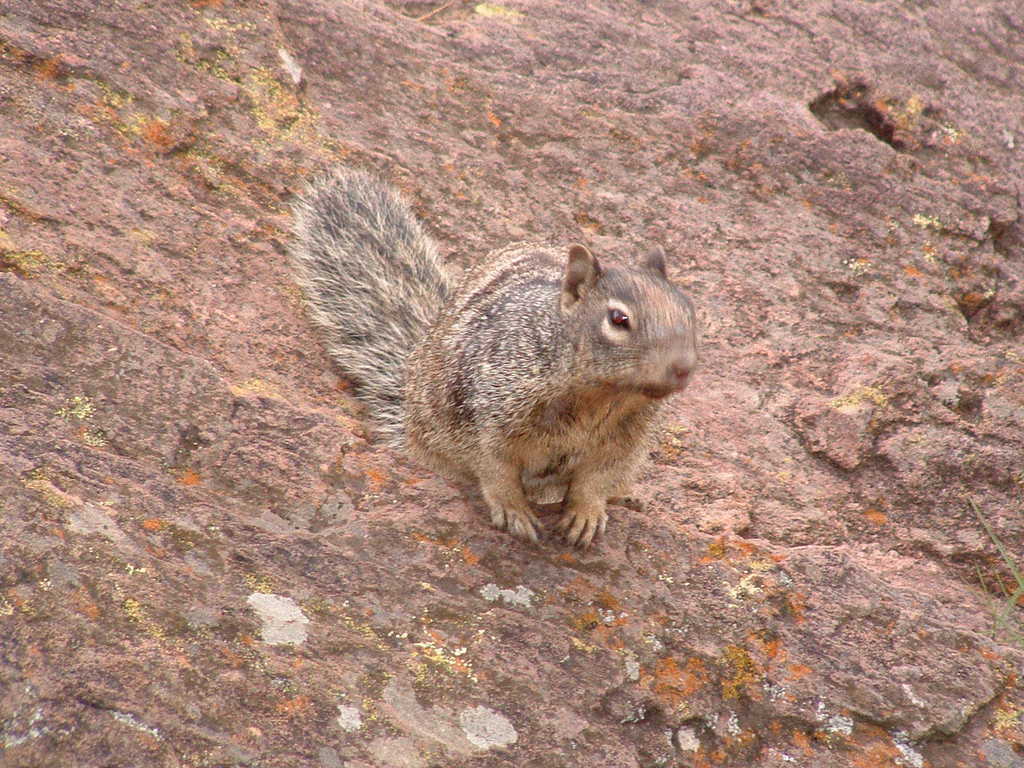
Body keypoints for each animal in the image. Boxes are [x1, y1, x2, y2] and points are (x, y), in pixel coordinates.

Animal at [290, 168, 698, 547]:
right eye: (618, 319)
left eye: (689, 310)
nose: (683, 368)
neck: (600, 397)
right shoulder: (486, 416)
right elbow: (495, 469)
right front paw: (513, 510)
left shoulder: (624, 442)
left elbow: (595, 480)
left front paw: (586, 513)